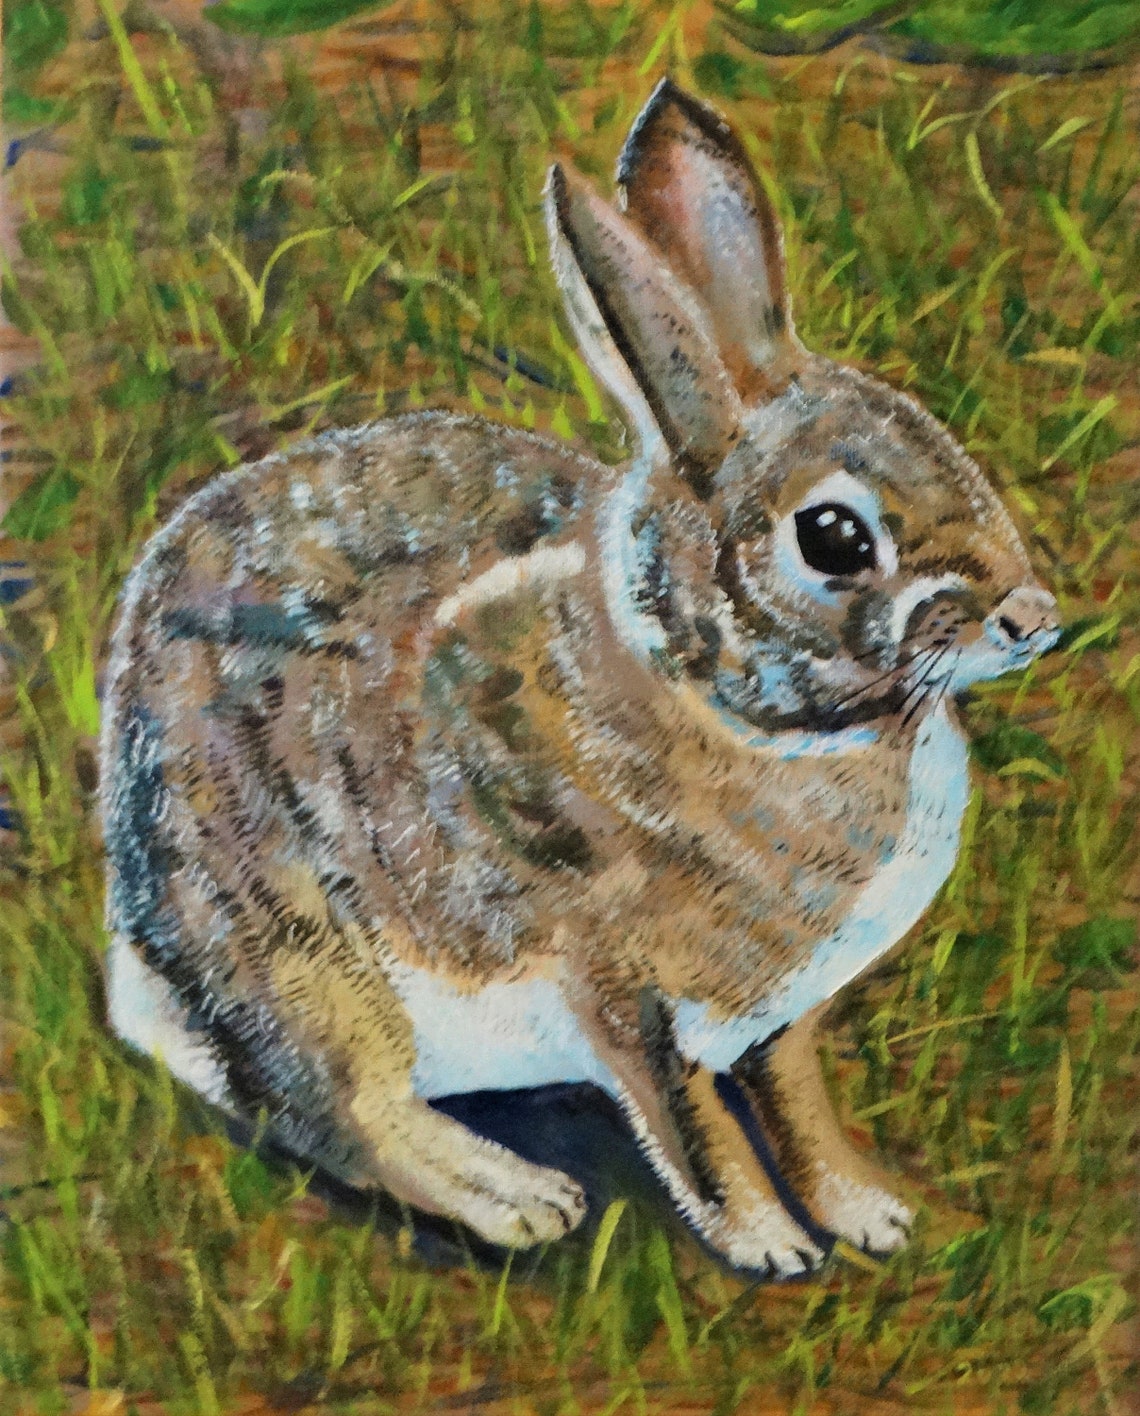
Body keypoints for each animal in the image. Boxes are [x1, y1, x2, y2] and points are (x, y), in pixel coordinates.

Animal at [101, 78, 1060, 1276]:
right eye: (835, 536)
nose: (1035, 616)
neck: (729, 701)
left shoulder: (780, 1015)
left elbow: (795, 1102)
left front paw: (866, 1211)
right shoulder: (626, 994)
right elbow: (695, 1131)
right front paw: (767, 1244)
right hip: (301, 950)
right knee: (339, 1107)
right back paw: (517, 1199)